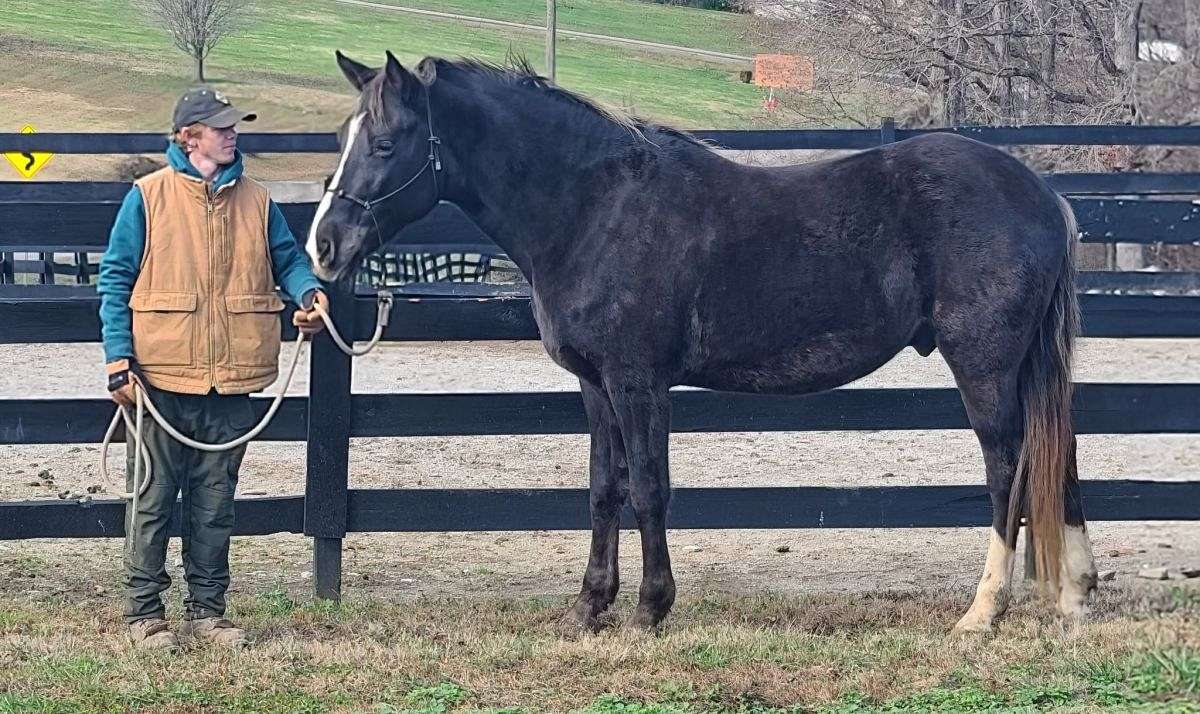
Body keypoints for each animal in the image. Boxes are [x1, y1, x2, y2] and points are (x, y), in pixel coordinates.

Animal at [306, 50, 1098, 632]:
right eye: (341, 137)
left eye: (385, 141)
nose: (324, 245)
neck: (594, 208)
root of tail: (1043, 194)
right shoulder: (596, 386)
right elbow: (604, 488)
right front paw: (591, 607)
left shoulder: (638, 382)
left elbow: (650, 488)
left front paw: (650, 609)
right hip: (1026, 367)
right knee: (1060, 456)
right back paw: (1075, 596)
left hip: (985, 366)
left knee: (1008, 469)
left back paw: (983, 612)